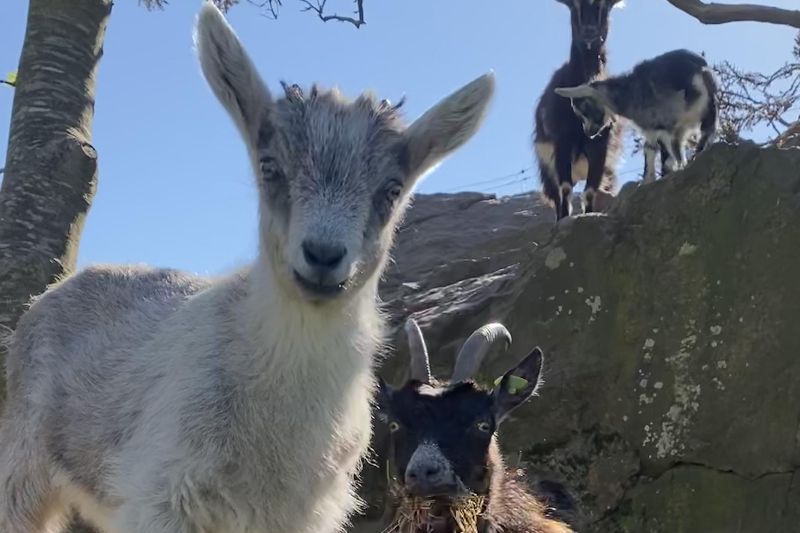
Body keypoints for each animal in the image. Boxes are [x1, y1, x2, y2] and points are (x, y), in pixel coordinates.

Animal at [0, 3, 495, 532]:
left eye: (392, 189)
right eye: (270, 167)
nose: (323, 255)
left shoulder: (303, 513)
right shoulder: (162, 494)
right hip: (22, 468)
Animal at [533, 0, 624, 221]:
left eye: (603, 6)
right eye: (574, 5)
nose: (589, 31)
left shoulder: (601, 145)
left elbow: (591, 190)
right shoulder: (562, 143)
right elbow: (565, 189)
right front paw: (563, 220)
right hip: (546, 166)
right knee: (556, 194)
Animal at [555, 49, 719, 183]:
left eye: (585, 108)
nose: (588, 133)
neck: (627, 93)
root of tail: (698, 70)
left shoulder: (660, 124)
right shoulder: (653, 130)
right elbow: (650, 150)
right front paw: (649, 179)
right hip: (707, 110)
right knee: (707, 132)